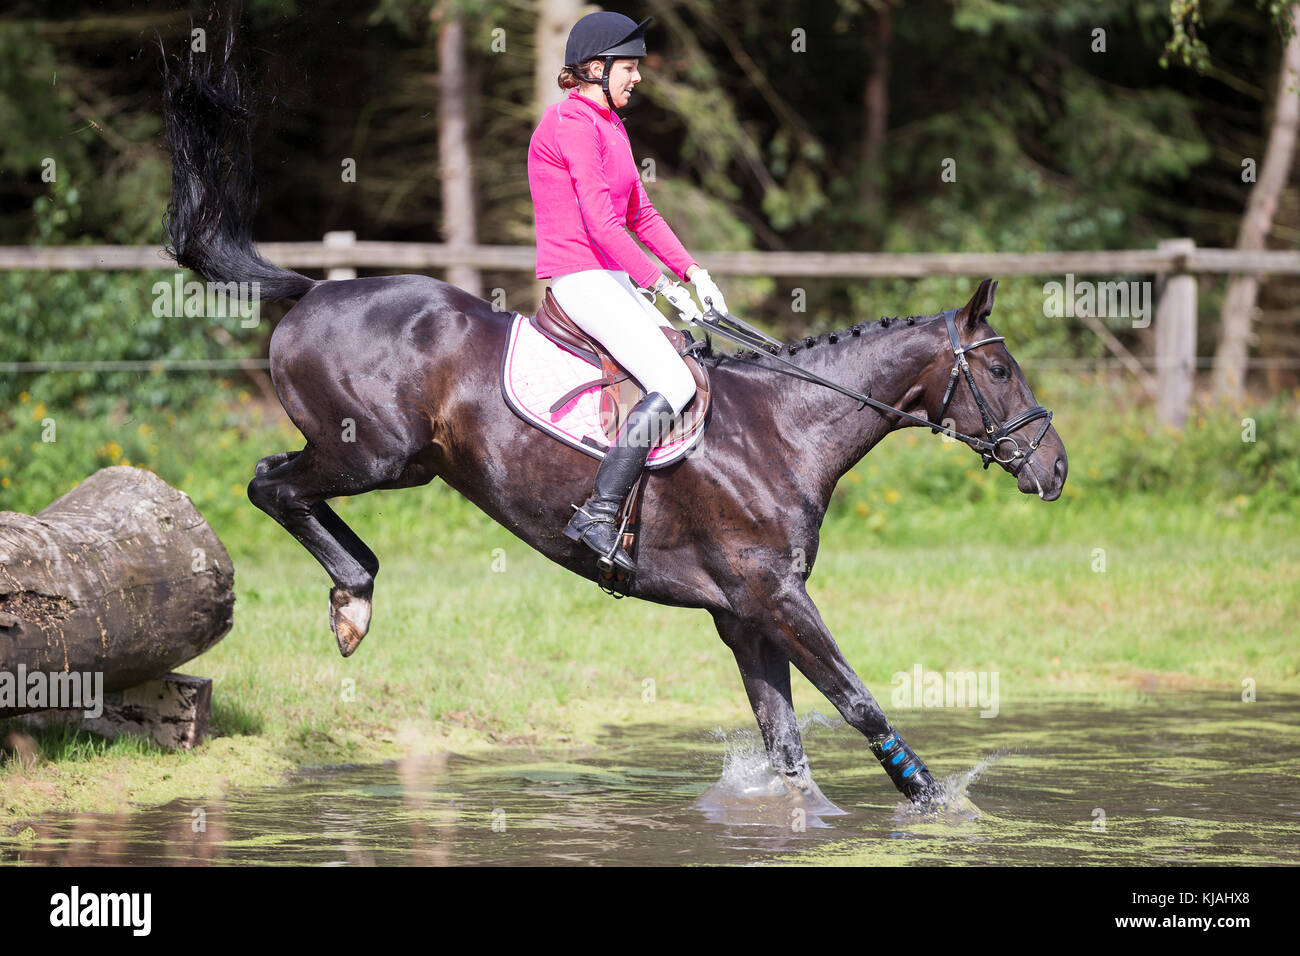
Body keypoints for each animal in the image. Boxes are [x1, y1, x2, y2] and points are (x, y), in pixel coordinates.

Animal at [160, 25, 1067, 808]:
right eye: (997, 369)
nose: (1055, 468)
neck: (784, 431)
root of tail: (315, 290)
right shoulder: (775, 598)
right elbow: (858, 702)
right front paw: (934, 804)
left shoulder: (742, 616)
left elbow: (785, 746)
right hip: (371, 454)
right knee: (271, 484)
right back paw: (354, 594)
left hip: (405, 463)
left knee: (291, 493)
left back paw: (355, 594)